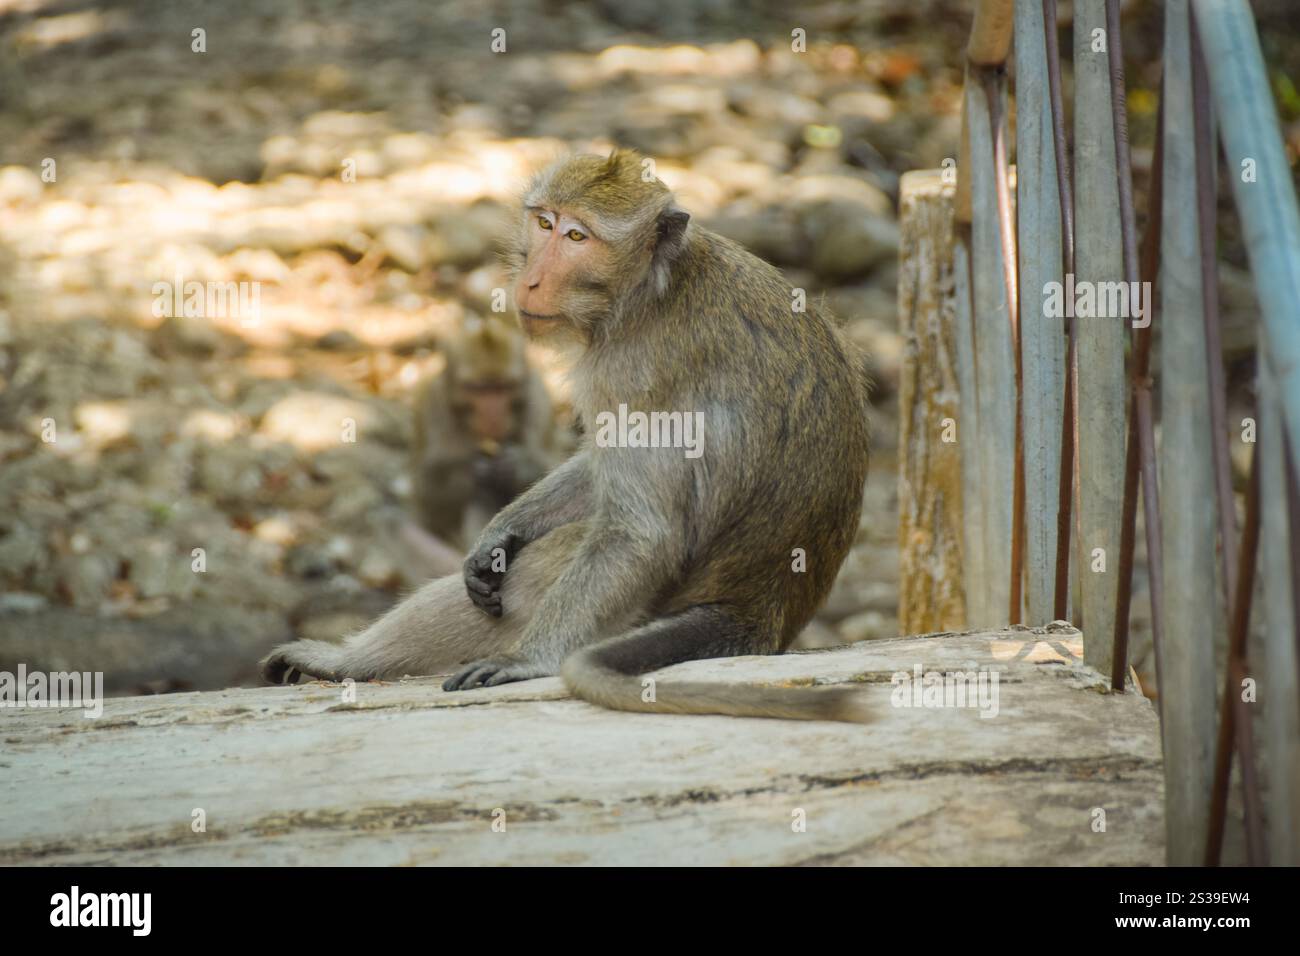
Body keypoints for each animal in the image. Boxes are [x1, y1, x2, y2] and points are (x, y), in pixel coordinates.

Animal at [262, 149, 871, 722]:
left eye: (579, 237)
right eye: (545, 223)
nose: (531, 278)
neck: (649, 292)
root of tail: (758, 611)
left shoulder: (631, 370)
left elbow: (641, 533)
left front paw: (526, 659)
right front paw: (501, 531)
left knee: (564, 555)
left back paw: (345, 661)